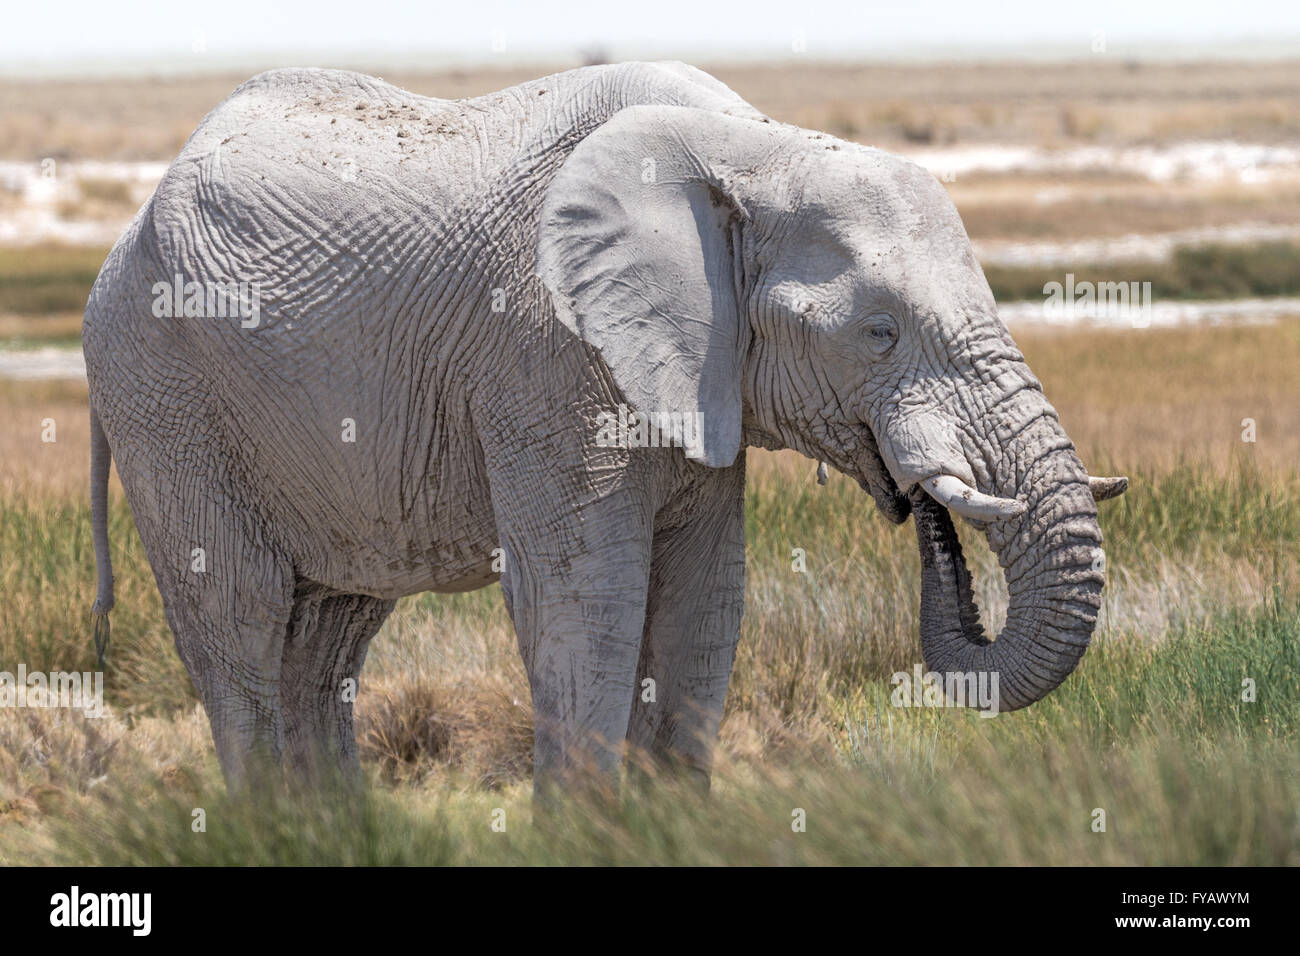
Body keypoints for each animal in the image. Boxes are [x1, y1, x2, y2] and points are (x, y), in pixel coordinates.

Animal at [83, 61, 1126, 794]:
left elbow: (708, 594)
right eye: (879, 332)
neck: (752, 148)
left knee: (331, 632)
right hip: (161, 394)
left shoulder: (700, 380)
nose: (925, 507)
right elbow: (589, 593)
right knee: (242, 618)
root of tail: (119, 244)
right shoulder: (544, 354)